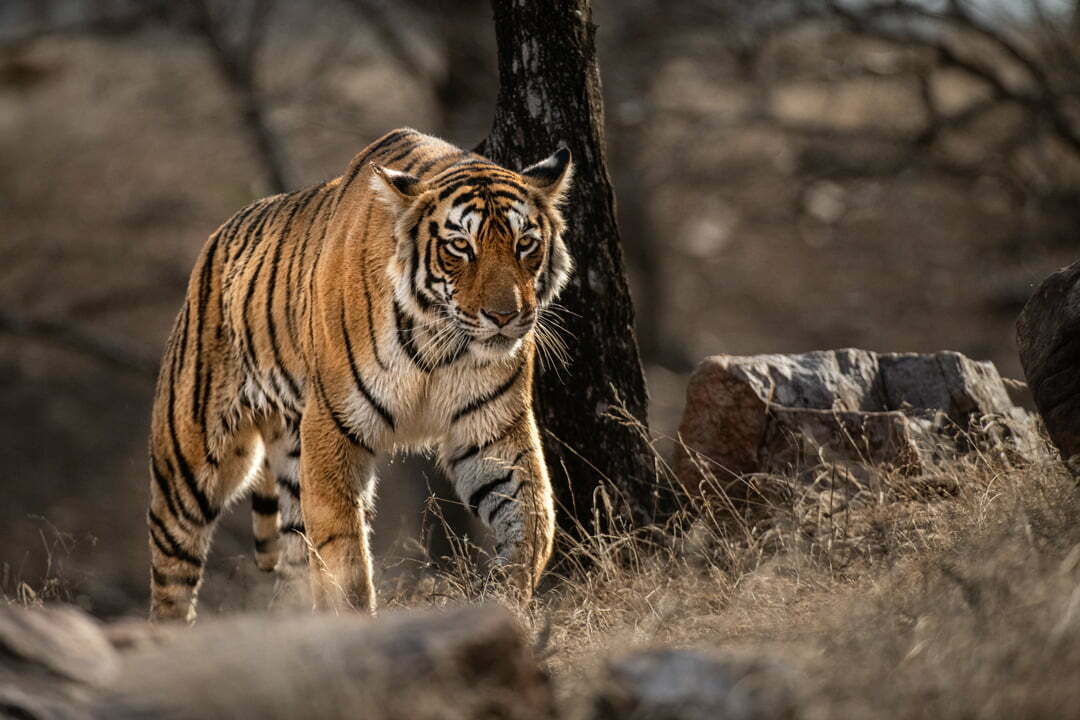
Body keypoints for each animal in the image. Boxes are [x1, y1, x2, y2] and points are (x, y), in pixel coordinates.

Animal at [147, 128, 573, 622]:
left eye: (525, 244)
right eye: (460, 247)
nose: (505, 316)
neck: (439, 342)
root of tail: (215, 237)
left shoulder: (491, 432)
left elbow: (530, 524)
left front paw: (505, 605)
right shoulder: (333, 427)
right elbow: (344, 556)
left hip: (291, 455)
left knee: (292, 566)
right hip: (188, 462)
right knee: (172, 573)